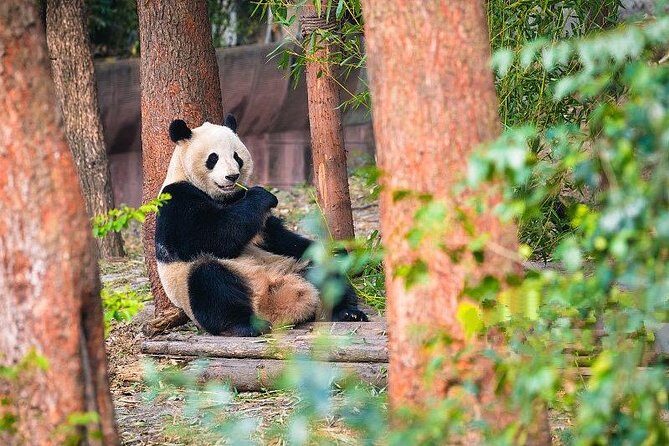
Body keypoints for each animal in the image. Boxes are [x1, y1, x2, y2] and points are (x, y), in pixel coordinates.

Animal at [155, 115, 368, 336]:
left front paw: (339, 250)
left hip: (292, 266)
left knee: (326, 272)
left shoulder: (252, 213)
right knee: (210, 282)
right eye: (212, 158)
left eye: (236, 156)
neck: (223, 197)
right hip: (198, 284)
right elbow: (208, 236)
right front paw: (263, 195)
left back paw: (346, 311)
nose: (232, 176)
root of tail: (274, 304)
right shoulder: (176, 200)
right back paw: (245, 325)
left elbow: (277, 236)